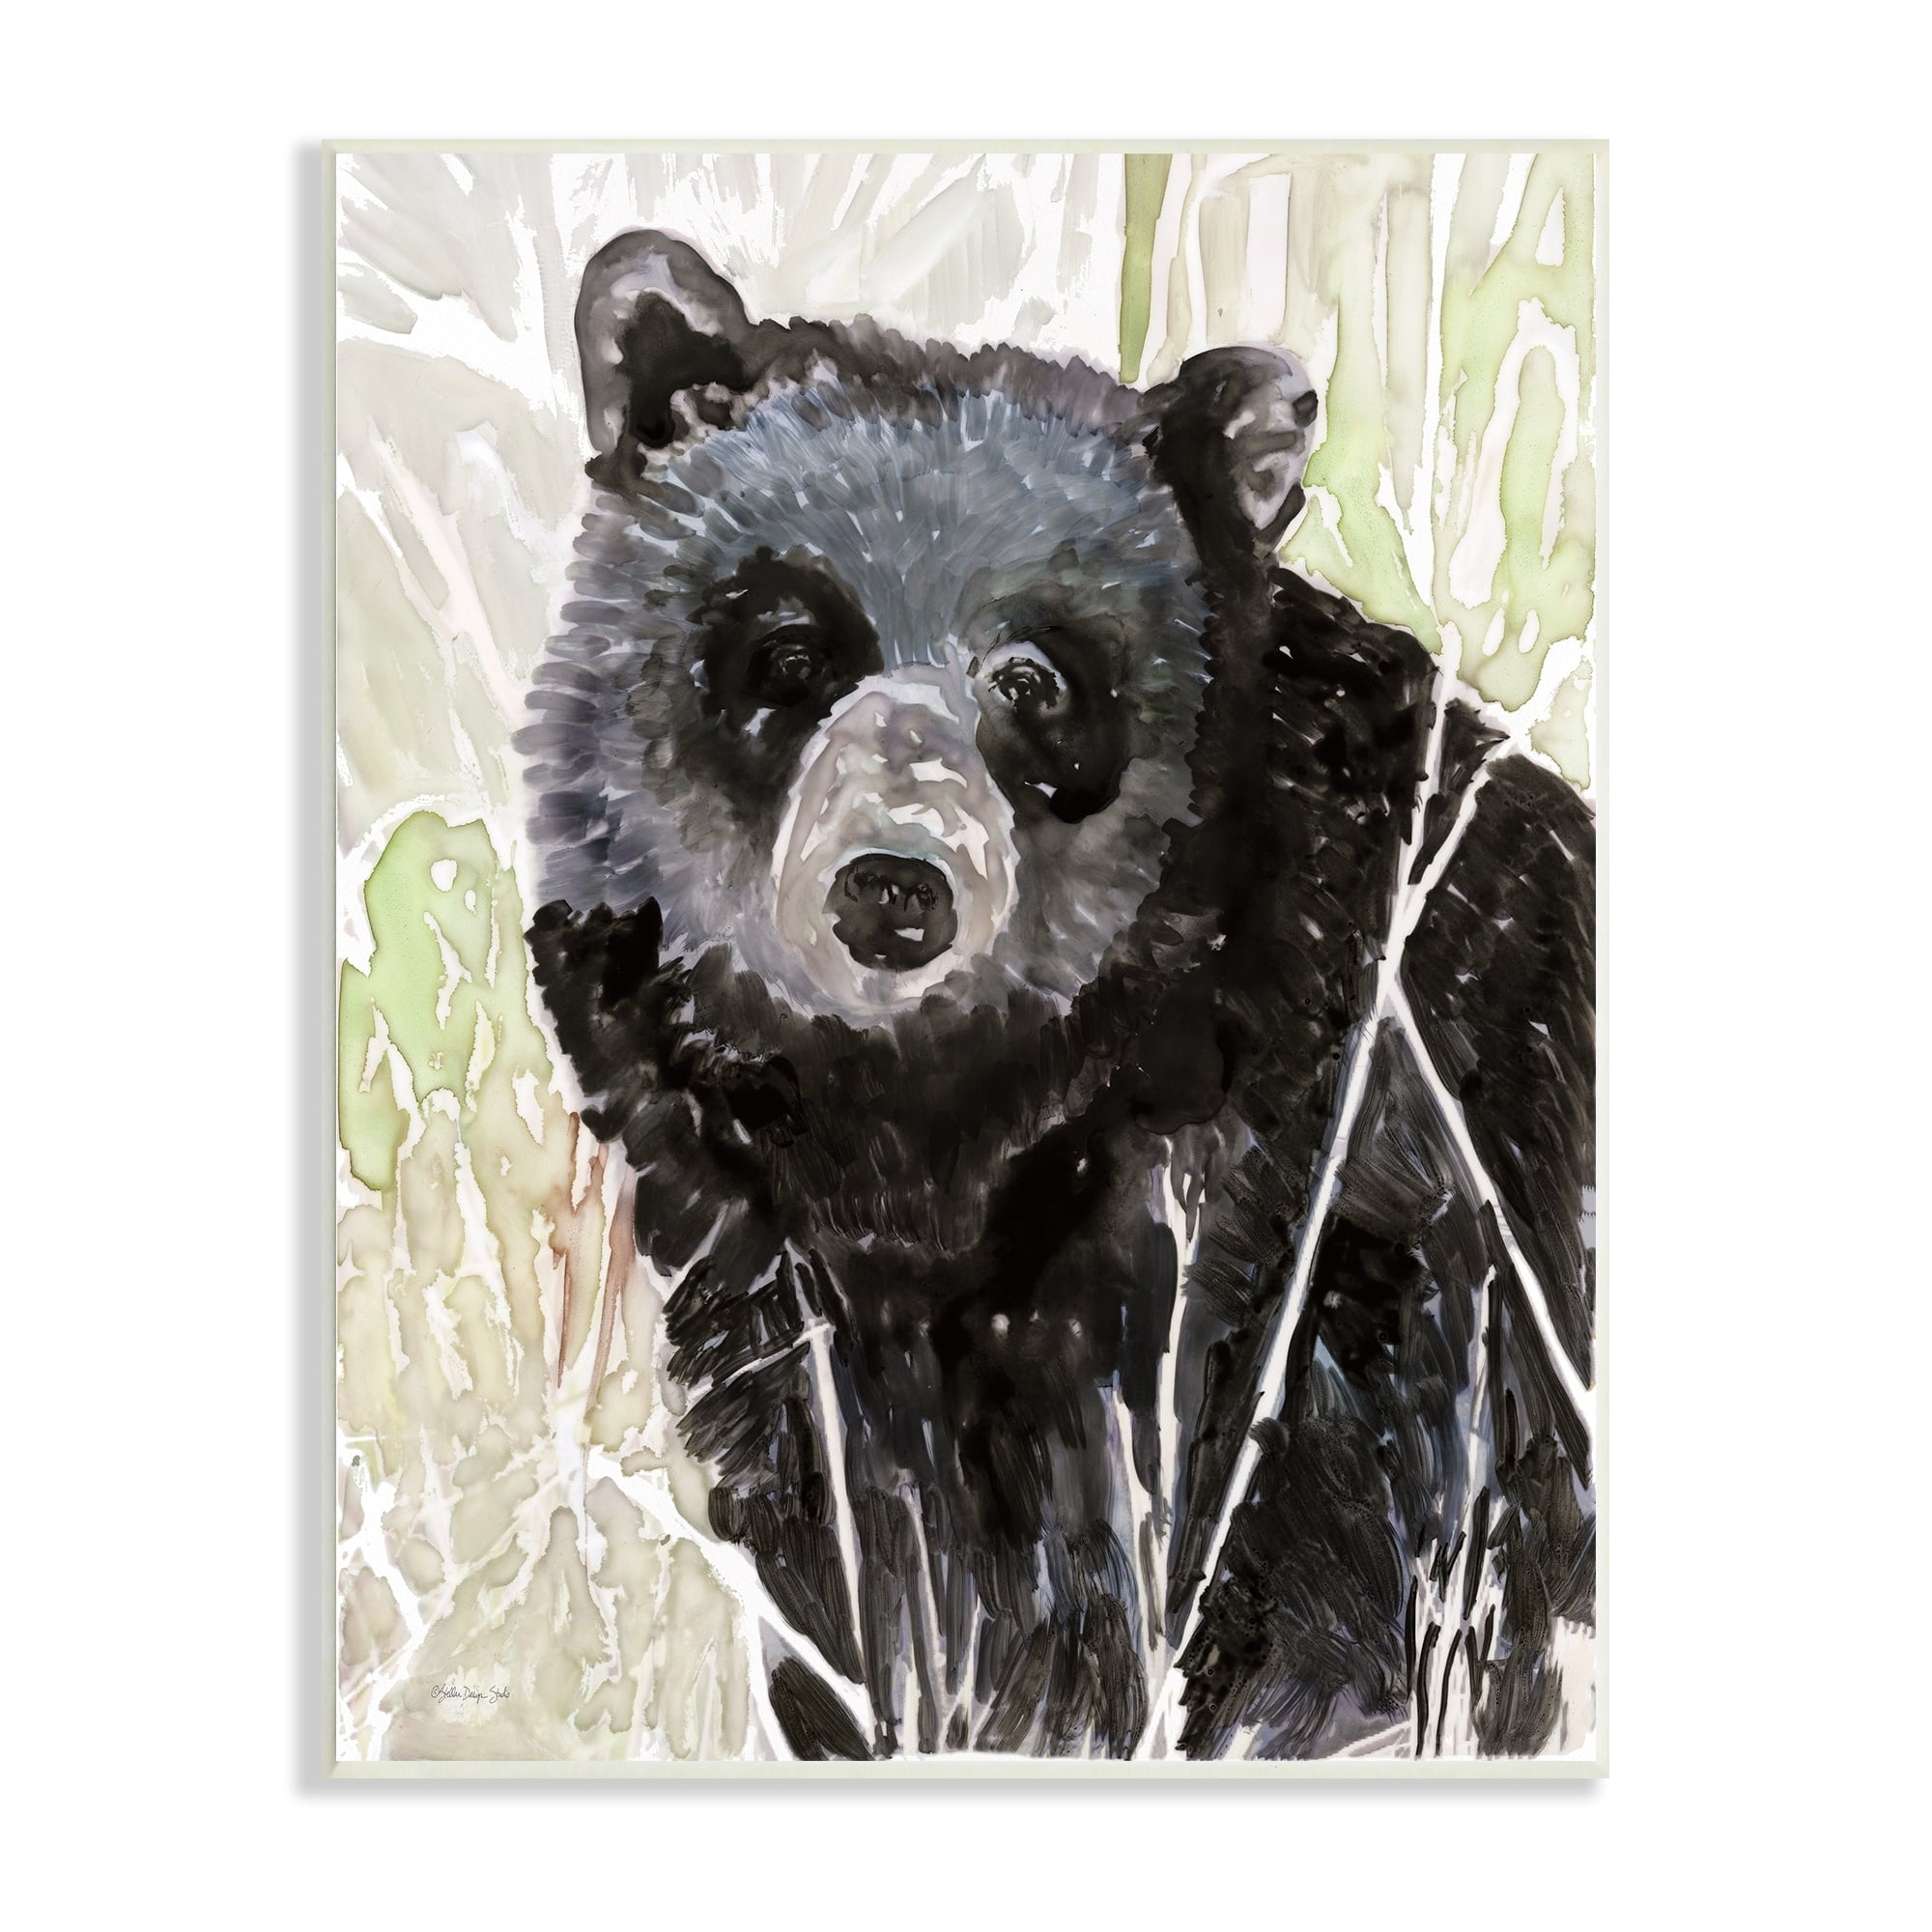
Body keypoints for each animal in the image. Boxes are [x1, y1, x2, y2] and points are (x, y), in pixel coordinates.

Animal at [518, 229, 1595, 1762]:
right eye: (790, 653)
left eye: (1032, 676)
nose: (893, 887)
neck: (934, 1122)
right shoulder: (751, 1249)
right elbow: (835, 1531)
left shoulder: (1308, 1209)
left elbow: (1247, 1566)